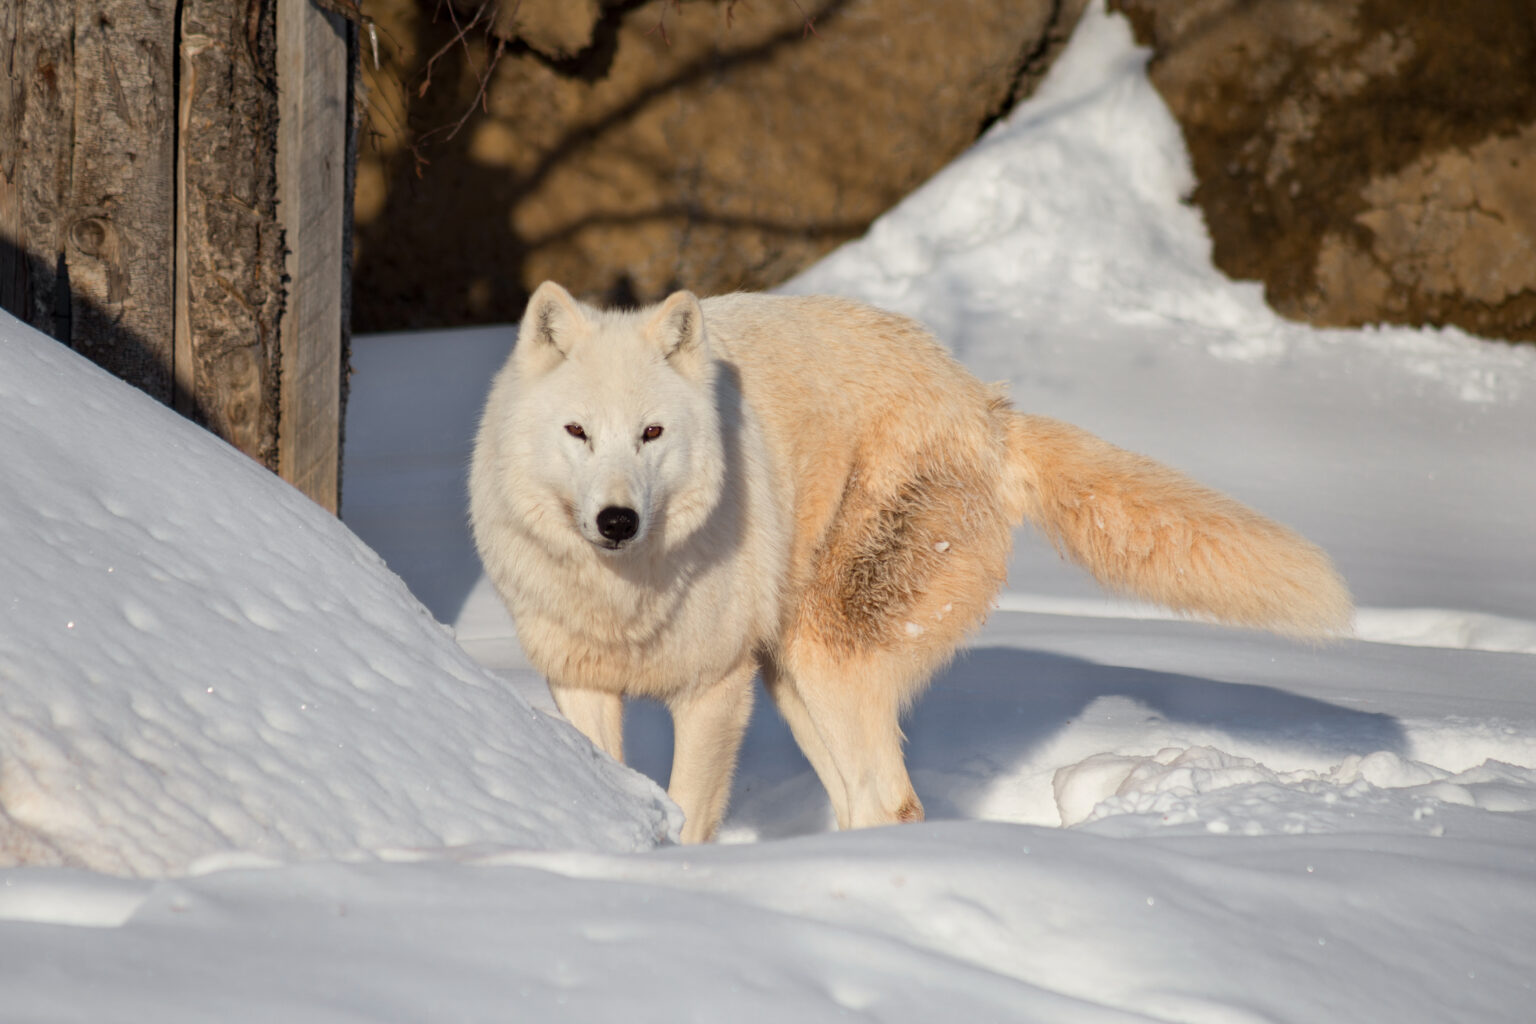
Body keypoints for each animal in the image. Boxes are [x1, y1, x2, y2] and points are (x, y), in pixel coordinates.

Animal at [469, 282, 1353, 843]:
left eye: (651, 433)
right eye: (578, 432)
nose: (617, 521)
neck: (628, 596)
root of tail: (987, 410)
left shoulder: (713, 690)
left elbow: (689, 817)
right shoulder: (580, 684)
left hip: (823, 660)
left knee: (892, 804)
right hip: (794, 680)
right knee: (866, 803)